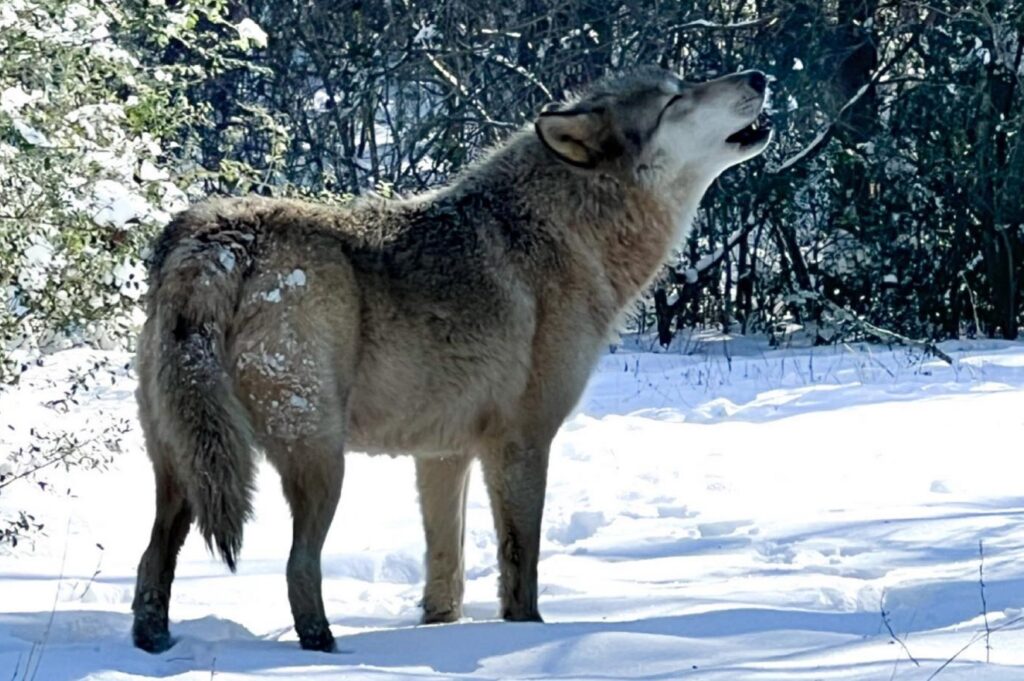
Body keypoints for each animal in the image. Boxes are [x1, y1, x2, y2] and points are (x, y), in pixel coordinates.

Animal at [131, 66, 772, 653]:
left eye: (683, 84)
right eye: (674, 100)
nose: (760, 76)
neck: (568, 235)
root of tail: (217, 236)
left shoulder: (443, 455)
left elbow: (447, 571)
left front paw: (440, 635)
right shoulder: (522, 443)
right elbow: (521, 566)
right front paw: (526, 637)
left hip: (187, 471)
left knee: (151, 559)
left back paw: (154, 643)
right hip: (321, 463)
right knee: (297, 566)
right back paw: (327, 649)